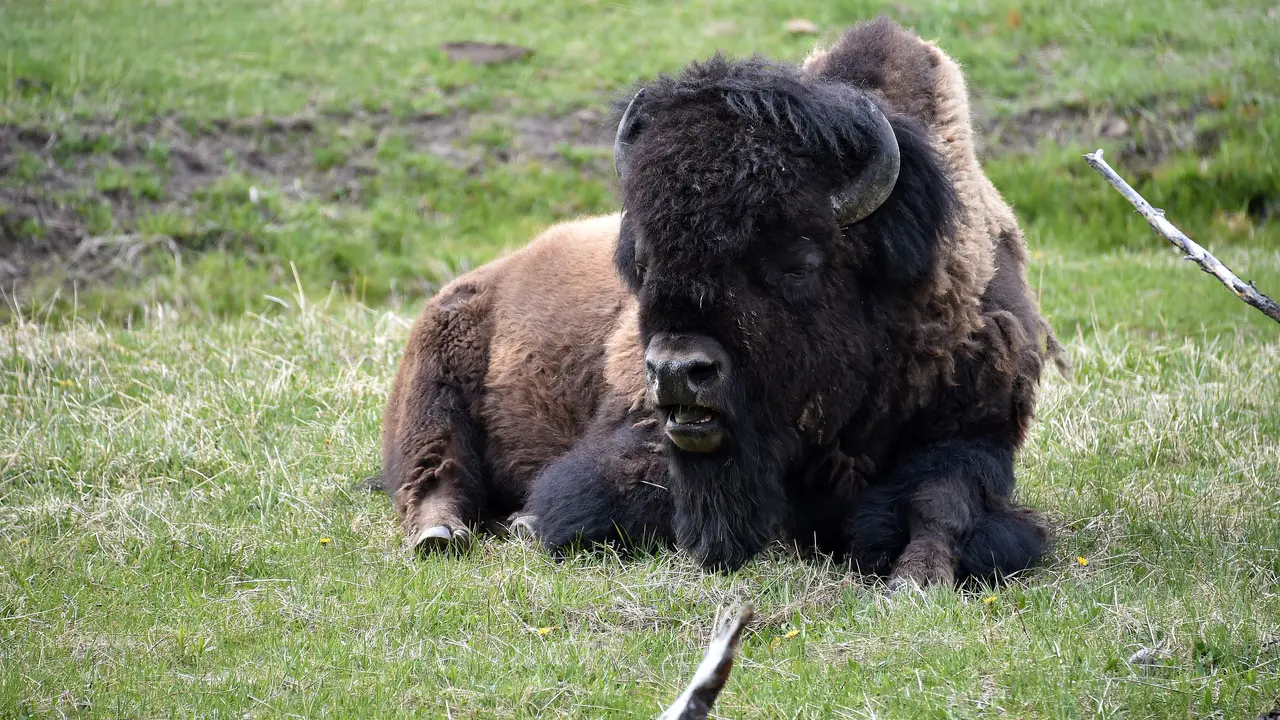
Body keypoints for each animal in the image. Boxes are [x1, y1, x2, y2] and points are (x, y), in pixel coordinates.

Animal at [377, 17, 1065, 587]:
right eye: (644, 262)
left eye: (797, 262)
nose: (679, 370)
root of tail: (476, 282)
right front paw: (528, 523)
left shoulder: (973, 432)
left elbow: (943, 503)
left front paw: (916, 577)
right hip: (432, 391)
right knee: (433, 471)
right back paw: (439, 535)